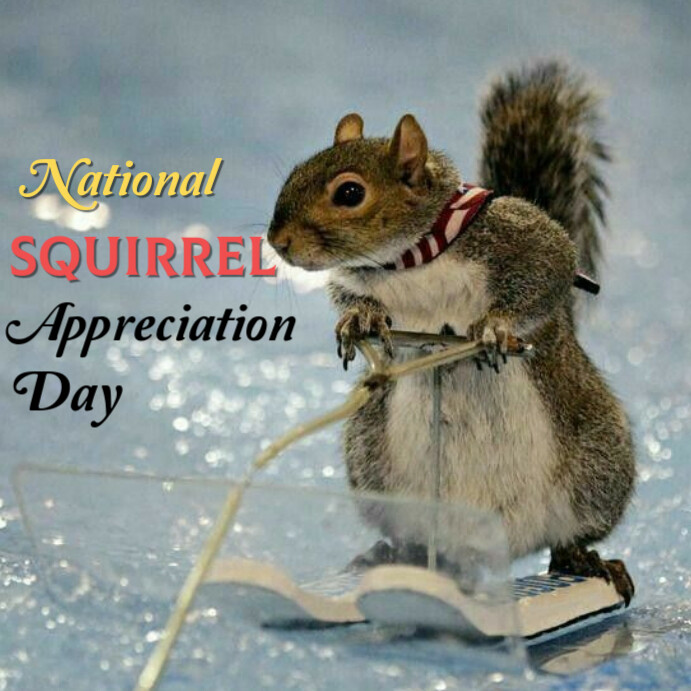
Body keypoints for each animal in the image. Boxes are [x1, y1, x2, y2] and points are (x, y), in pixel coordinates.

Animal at [267, 62, 636, 603]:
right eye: (295, 173)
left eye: (349, 193)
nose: (278, 241)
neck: (415, 257)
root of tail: (489, 544)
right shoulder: (357, 280)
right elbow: (350, 298)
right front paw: (358, 321)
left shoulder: (525, 241)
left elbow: (551, 266)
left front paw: (496, 329)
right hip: (374, 468)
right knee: (415, 539)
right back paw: (397, 555)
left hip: (600, 469)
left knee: (568, 538)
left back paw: (585, 559)